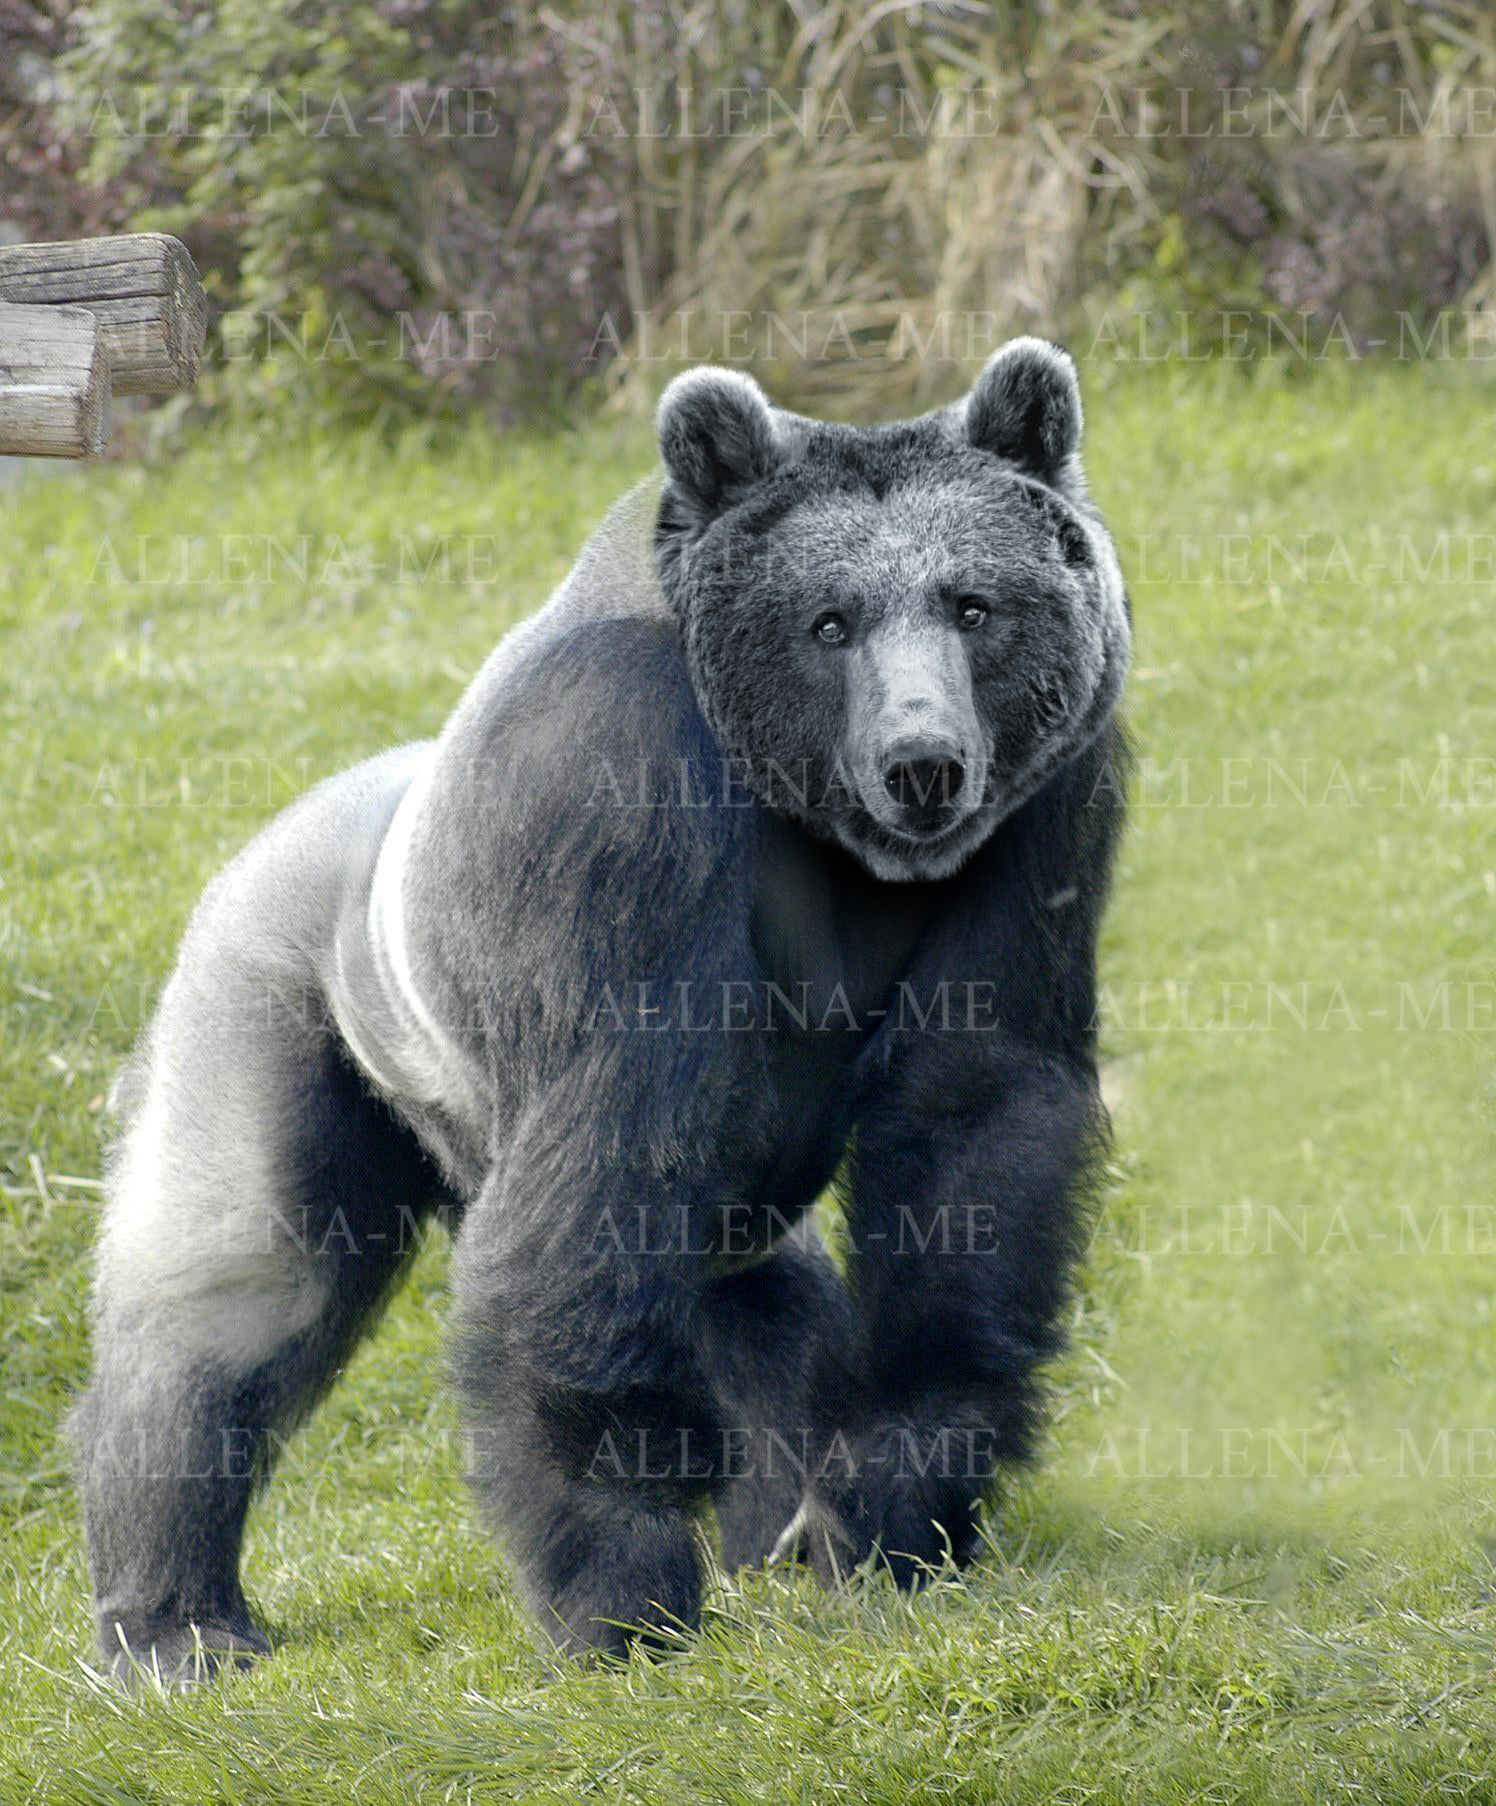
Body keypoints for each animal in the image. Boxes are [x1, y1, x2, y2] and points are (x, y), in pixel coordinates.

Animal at [74, 336, 1131, 1684]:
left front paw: (901, 1489)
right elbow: (608, 1152)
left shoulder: (1054, 771)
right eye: (827, 622)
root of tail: (291, 822)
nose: (923, 766)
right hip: (262, 972)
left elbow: (972, 1117)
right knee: (243, 1289)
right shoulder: (600, 765)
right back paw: (168, 1610)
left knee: (758, 1293)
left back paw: (775, 1526)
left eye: (972, 606)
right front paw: (617, 1584)